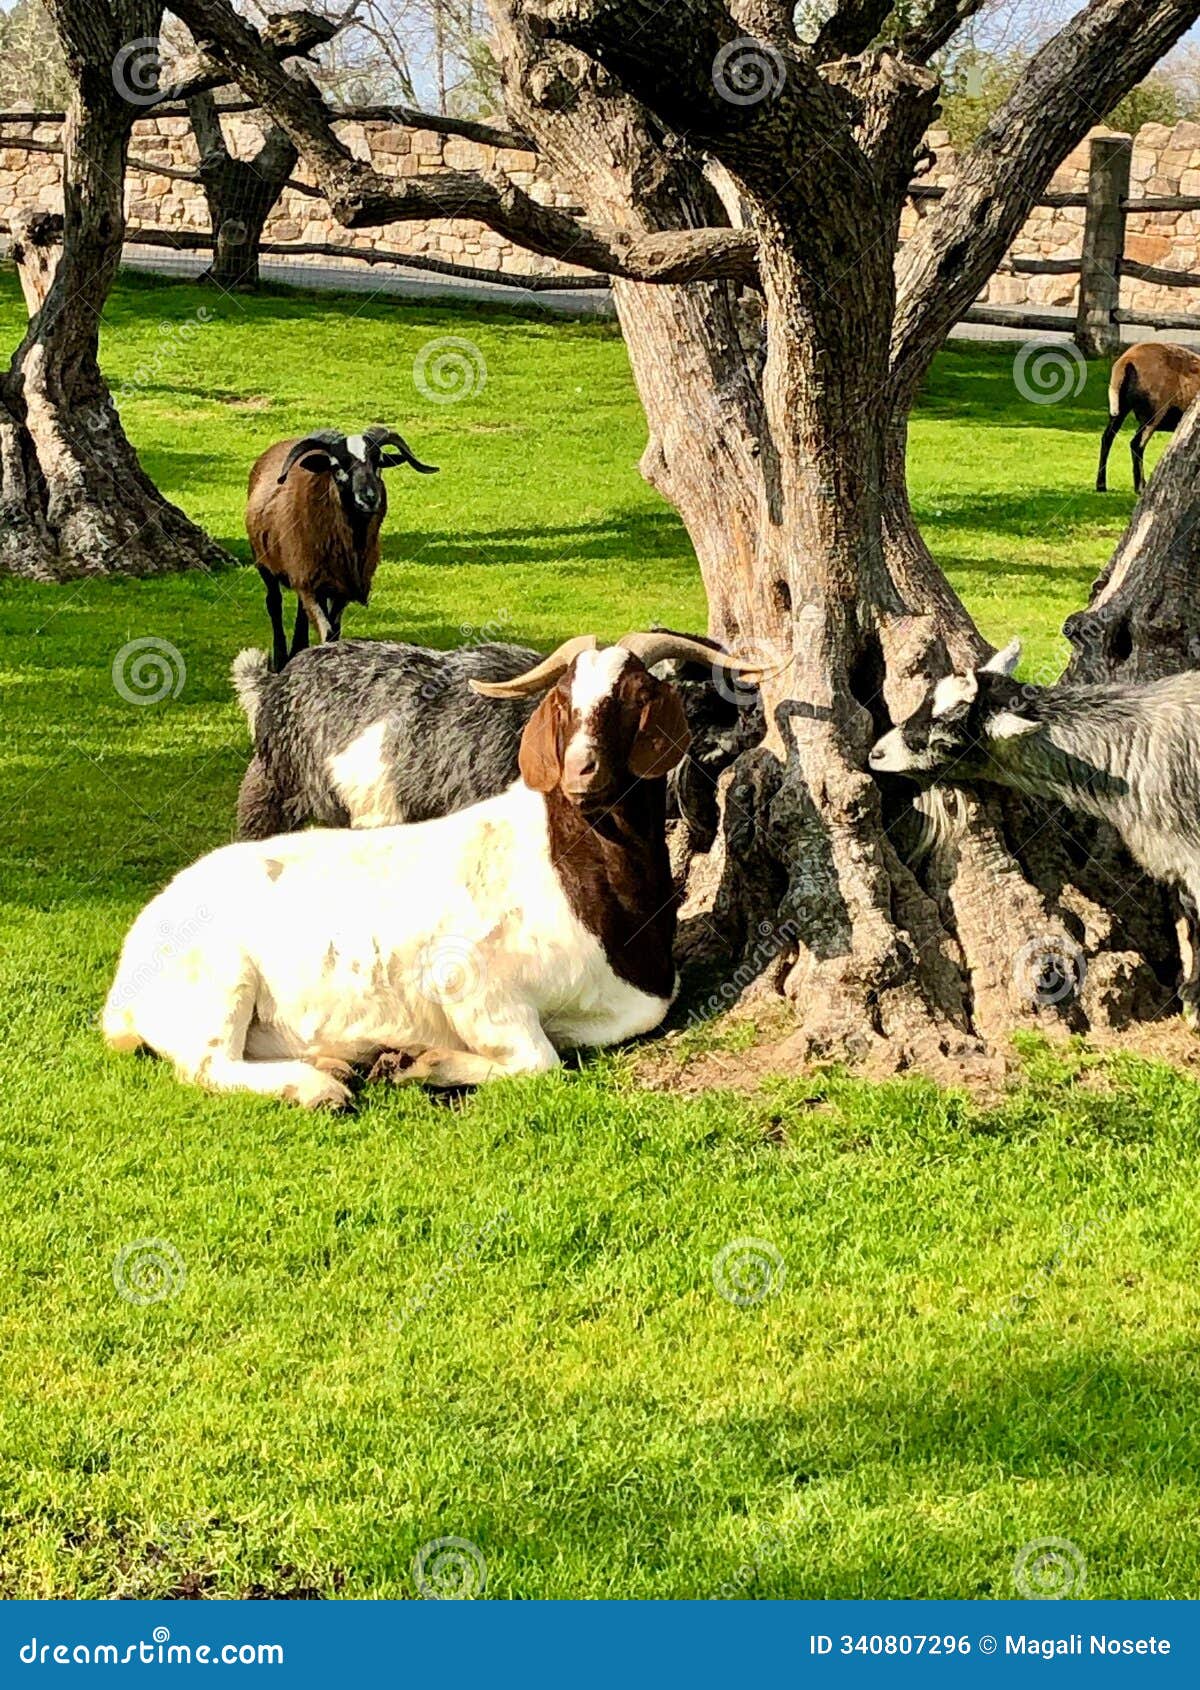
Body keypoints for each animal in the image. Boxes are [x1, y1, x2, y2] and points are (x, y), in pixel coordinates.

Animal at [245, 426, 437, 671]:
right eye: (337, 467)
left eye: (378, 462)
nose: (369, 498)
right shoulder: (310, 582)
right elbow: (326, 631)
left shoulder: (339, 587)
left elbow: (334, 632)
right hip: (265, 562)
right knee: (274, 604)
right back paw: (281, 659)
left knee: (300, 611)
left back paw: (298, 649)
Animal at [1096, 341, 1200, 493]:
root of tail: (1126, 360)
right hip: (1154, 411)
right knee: (1136, 443)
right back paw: (1140, 486)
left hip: (1120, 406)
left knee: (1107, 437)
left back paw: (1101, 485)